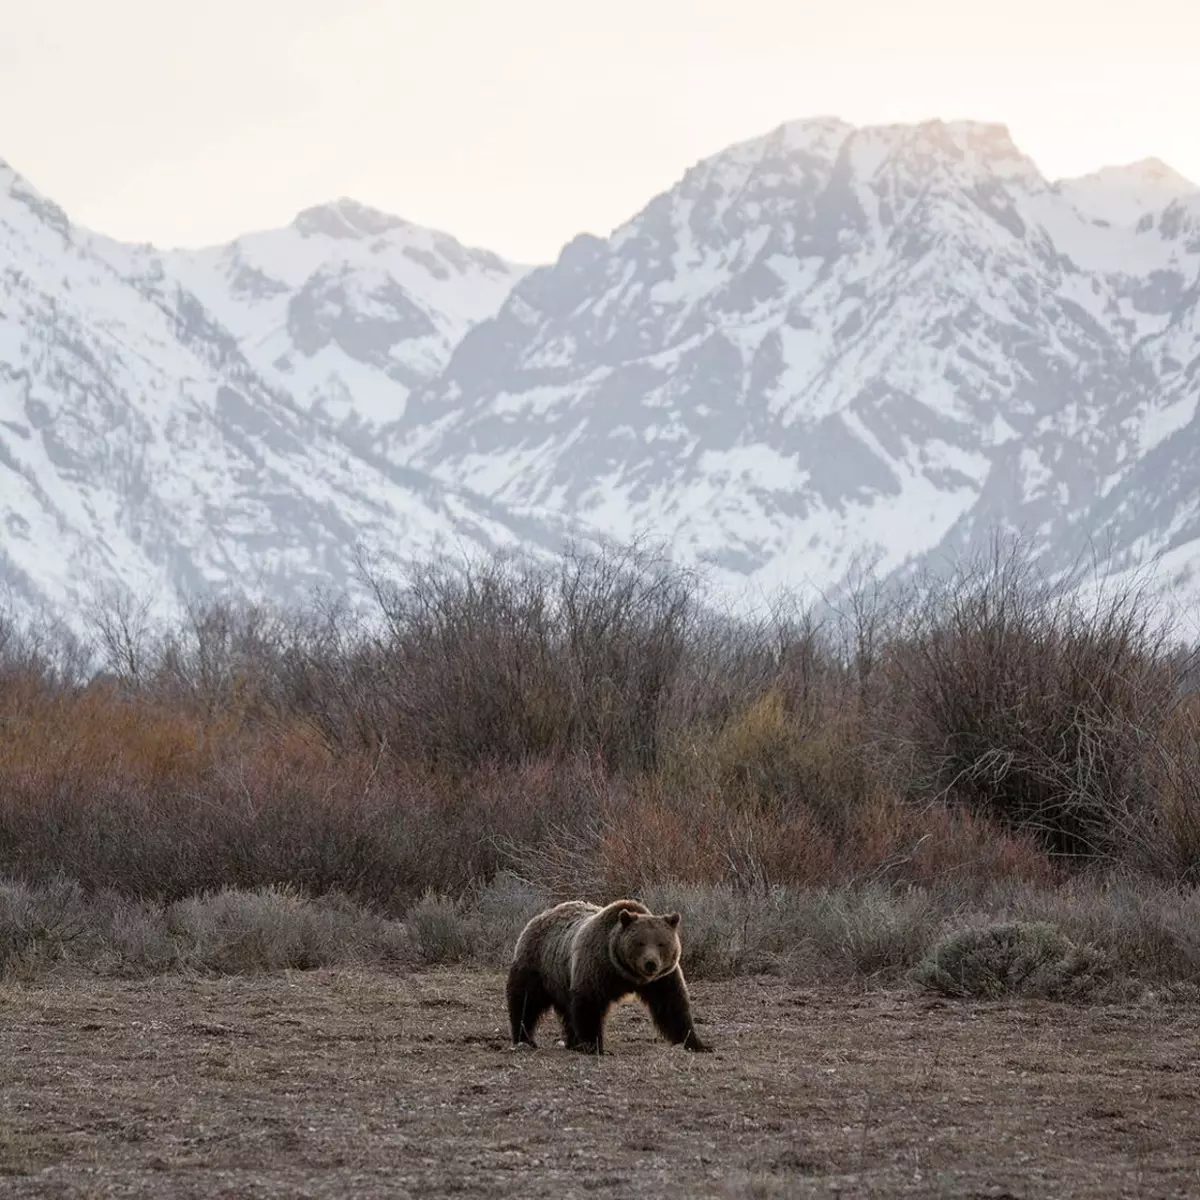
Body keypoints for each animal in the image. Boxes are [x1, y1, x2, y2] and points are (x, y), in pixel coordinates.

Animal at [501, 897, 705, 1056]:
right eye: (640, 943)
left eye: (661, 943)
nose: (651, 964)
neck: (626, 974)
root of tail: (540, 916)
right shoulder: (596, 967)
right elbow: (589, 1004)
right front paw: (595, 1047)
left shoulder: (662, 979)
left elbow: (672, 1006)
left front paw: (696, 1043)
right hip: (537, 965)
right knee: (526, 1002)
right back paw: (525, 1039)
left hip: (562, 978)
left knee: (567, 1011)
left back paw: (573, 1043)